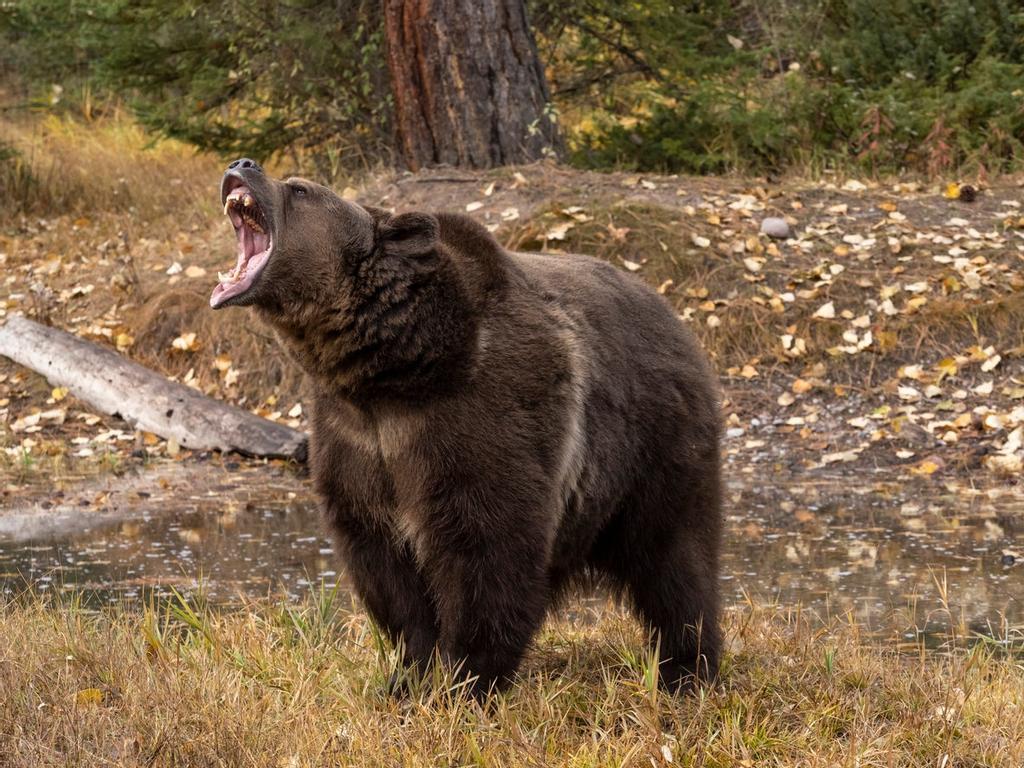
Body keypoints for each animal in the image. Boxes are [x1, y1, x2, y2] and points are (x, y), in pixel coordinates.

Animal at [211, 158, 723, 695]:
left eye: (301, 189)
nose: (243, 164)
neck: (392, 372)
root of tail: (674, 315)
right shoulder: (356, 440)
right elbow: (385, 566)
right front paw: (408, 676)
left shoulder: (477, 419)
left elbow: (486, 549)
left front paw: (467, 679)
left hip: (654, 446)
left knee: (675, 560)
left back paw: (687, 669)